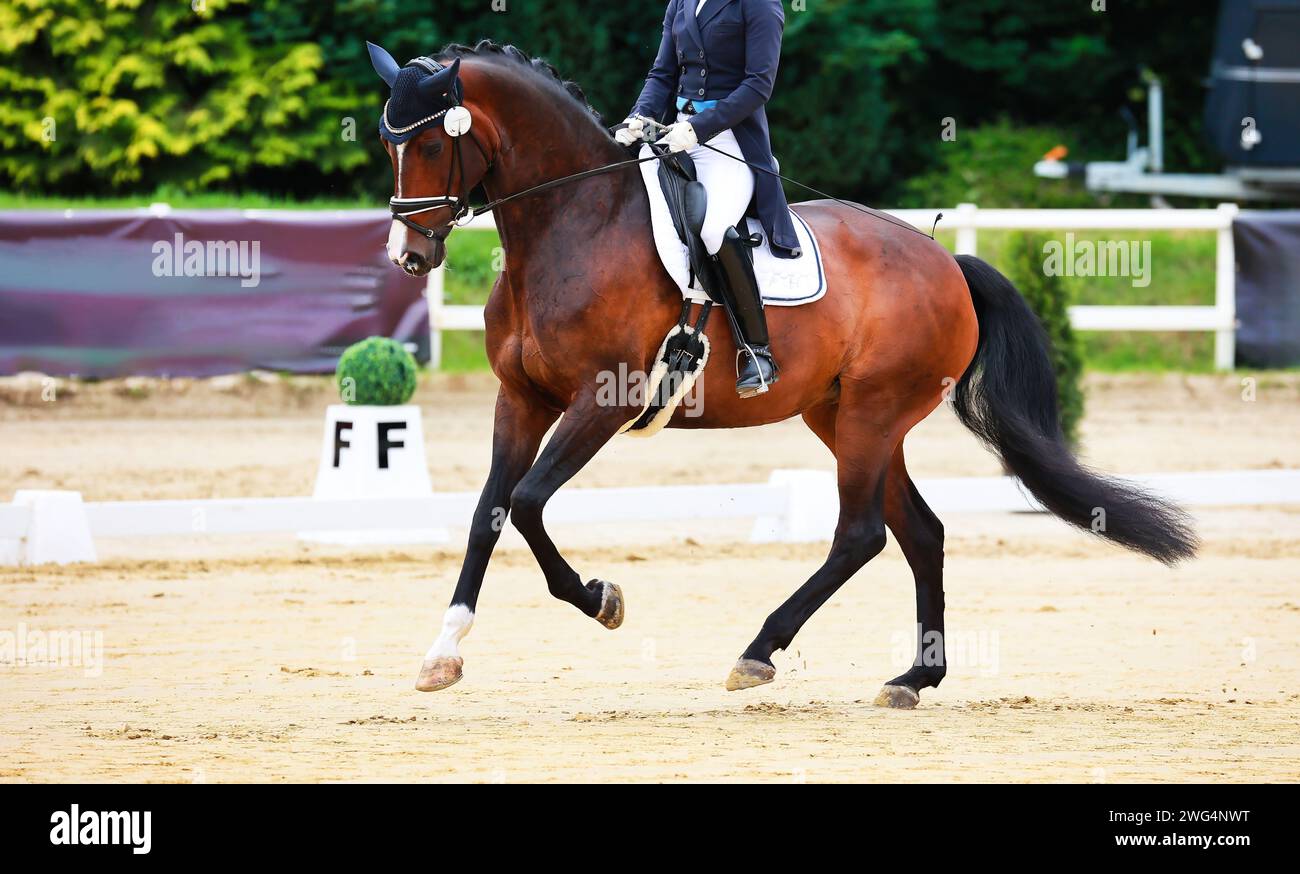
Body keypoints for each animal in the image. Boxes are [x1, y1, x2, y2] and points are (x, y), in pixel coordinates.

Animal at [372, 41, 1197, 708]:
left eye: (432, 144)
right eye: (388, 145)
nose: (408, 257)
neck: (574, 222)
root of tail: (947, 262)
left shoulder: (603, 401)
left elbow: (529, 501)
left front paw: (602, 599)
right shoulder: (522, 399)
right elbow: (489, 512)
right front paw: (443, 654)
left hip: (871, 414)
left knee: (861, 534)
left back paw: (758, 653)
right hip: (844, 416)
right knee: (920, 531)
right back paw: (914, 677)